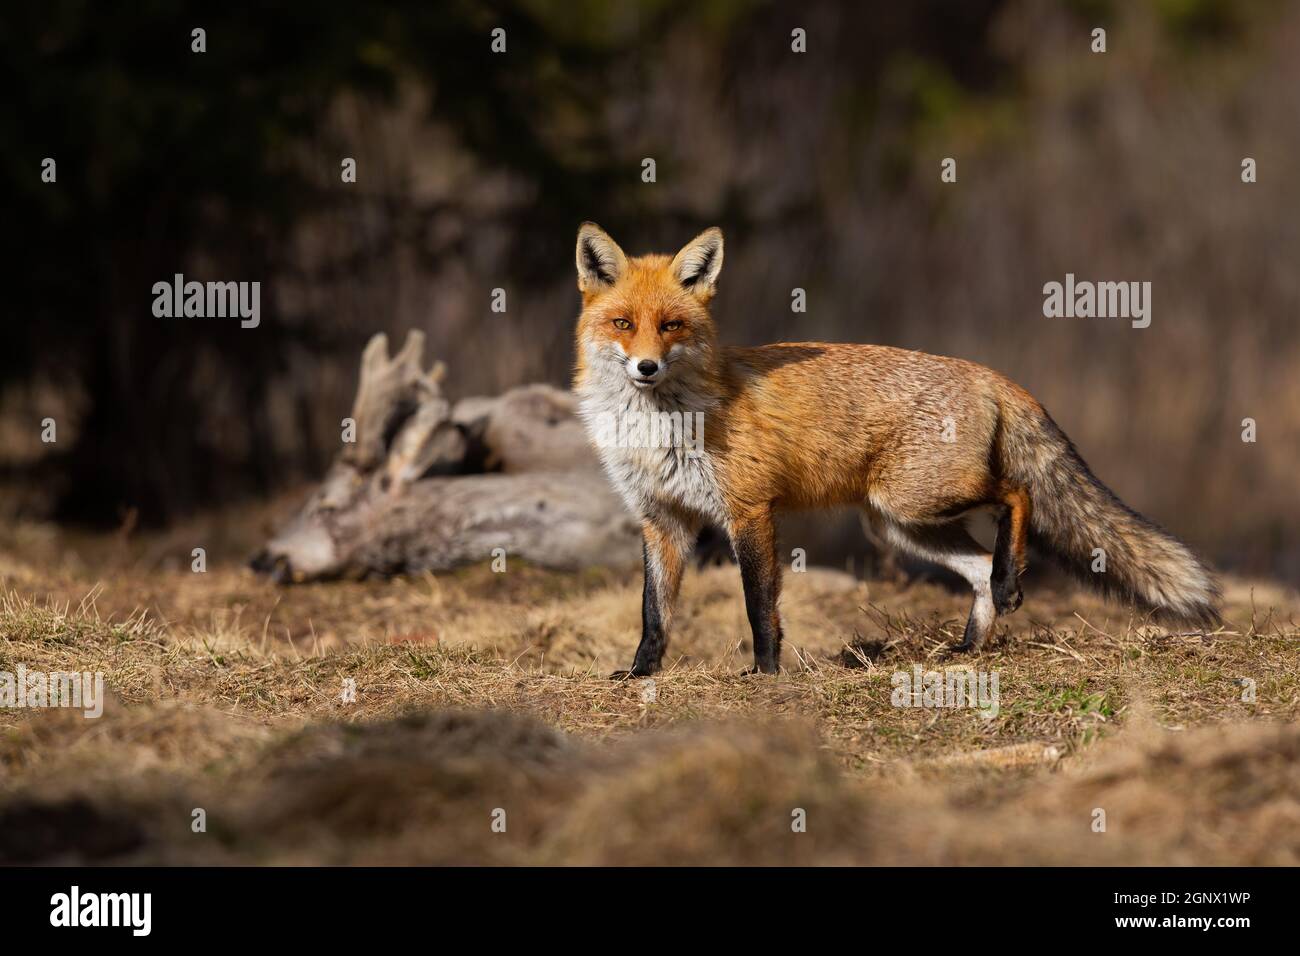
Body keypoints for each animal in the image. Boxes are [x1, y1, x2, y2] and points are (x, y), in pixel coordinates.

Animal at [572, 223, 1221, 677]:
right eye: (624, 323)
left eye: (672, 325)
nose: (646, 367)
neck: (659, 428)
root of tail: (993, 374)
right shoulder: (662, 520)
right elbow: (654, 613)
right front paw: (638, 674)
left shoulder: (748, 510)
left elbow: (759, 605)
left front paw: (765, 673)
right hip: (901, 525)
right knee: (979, 568)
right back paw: (967, 647)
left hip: (914, 499)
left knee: (1015, 497)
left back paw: (1009, 587)